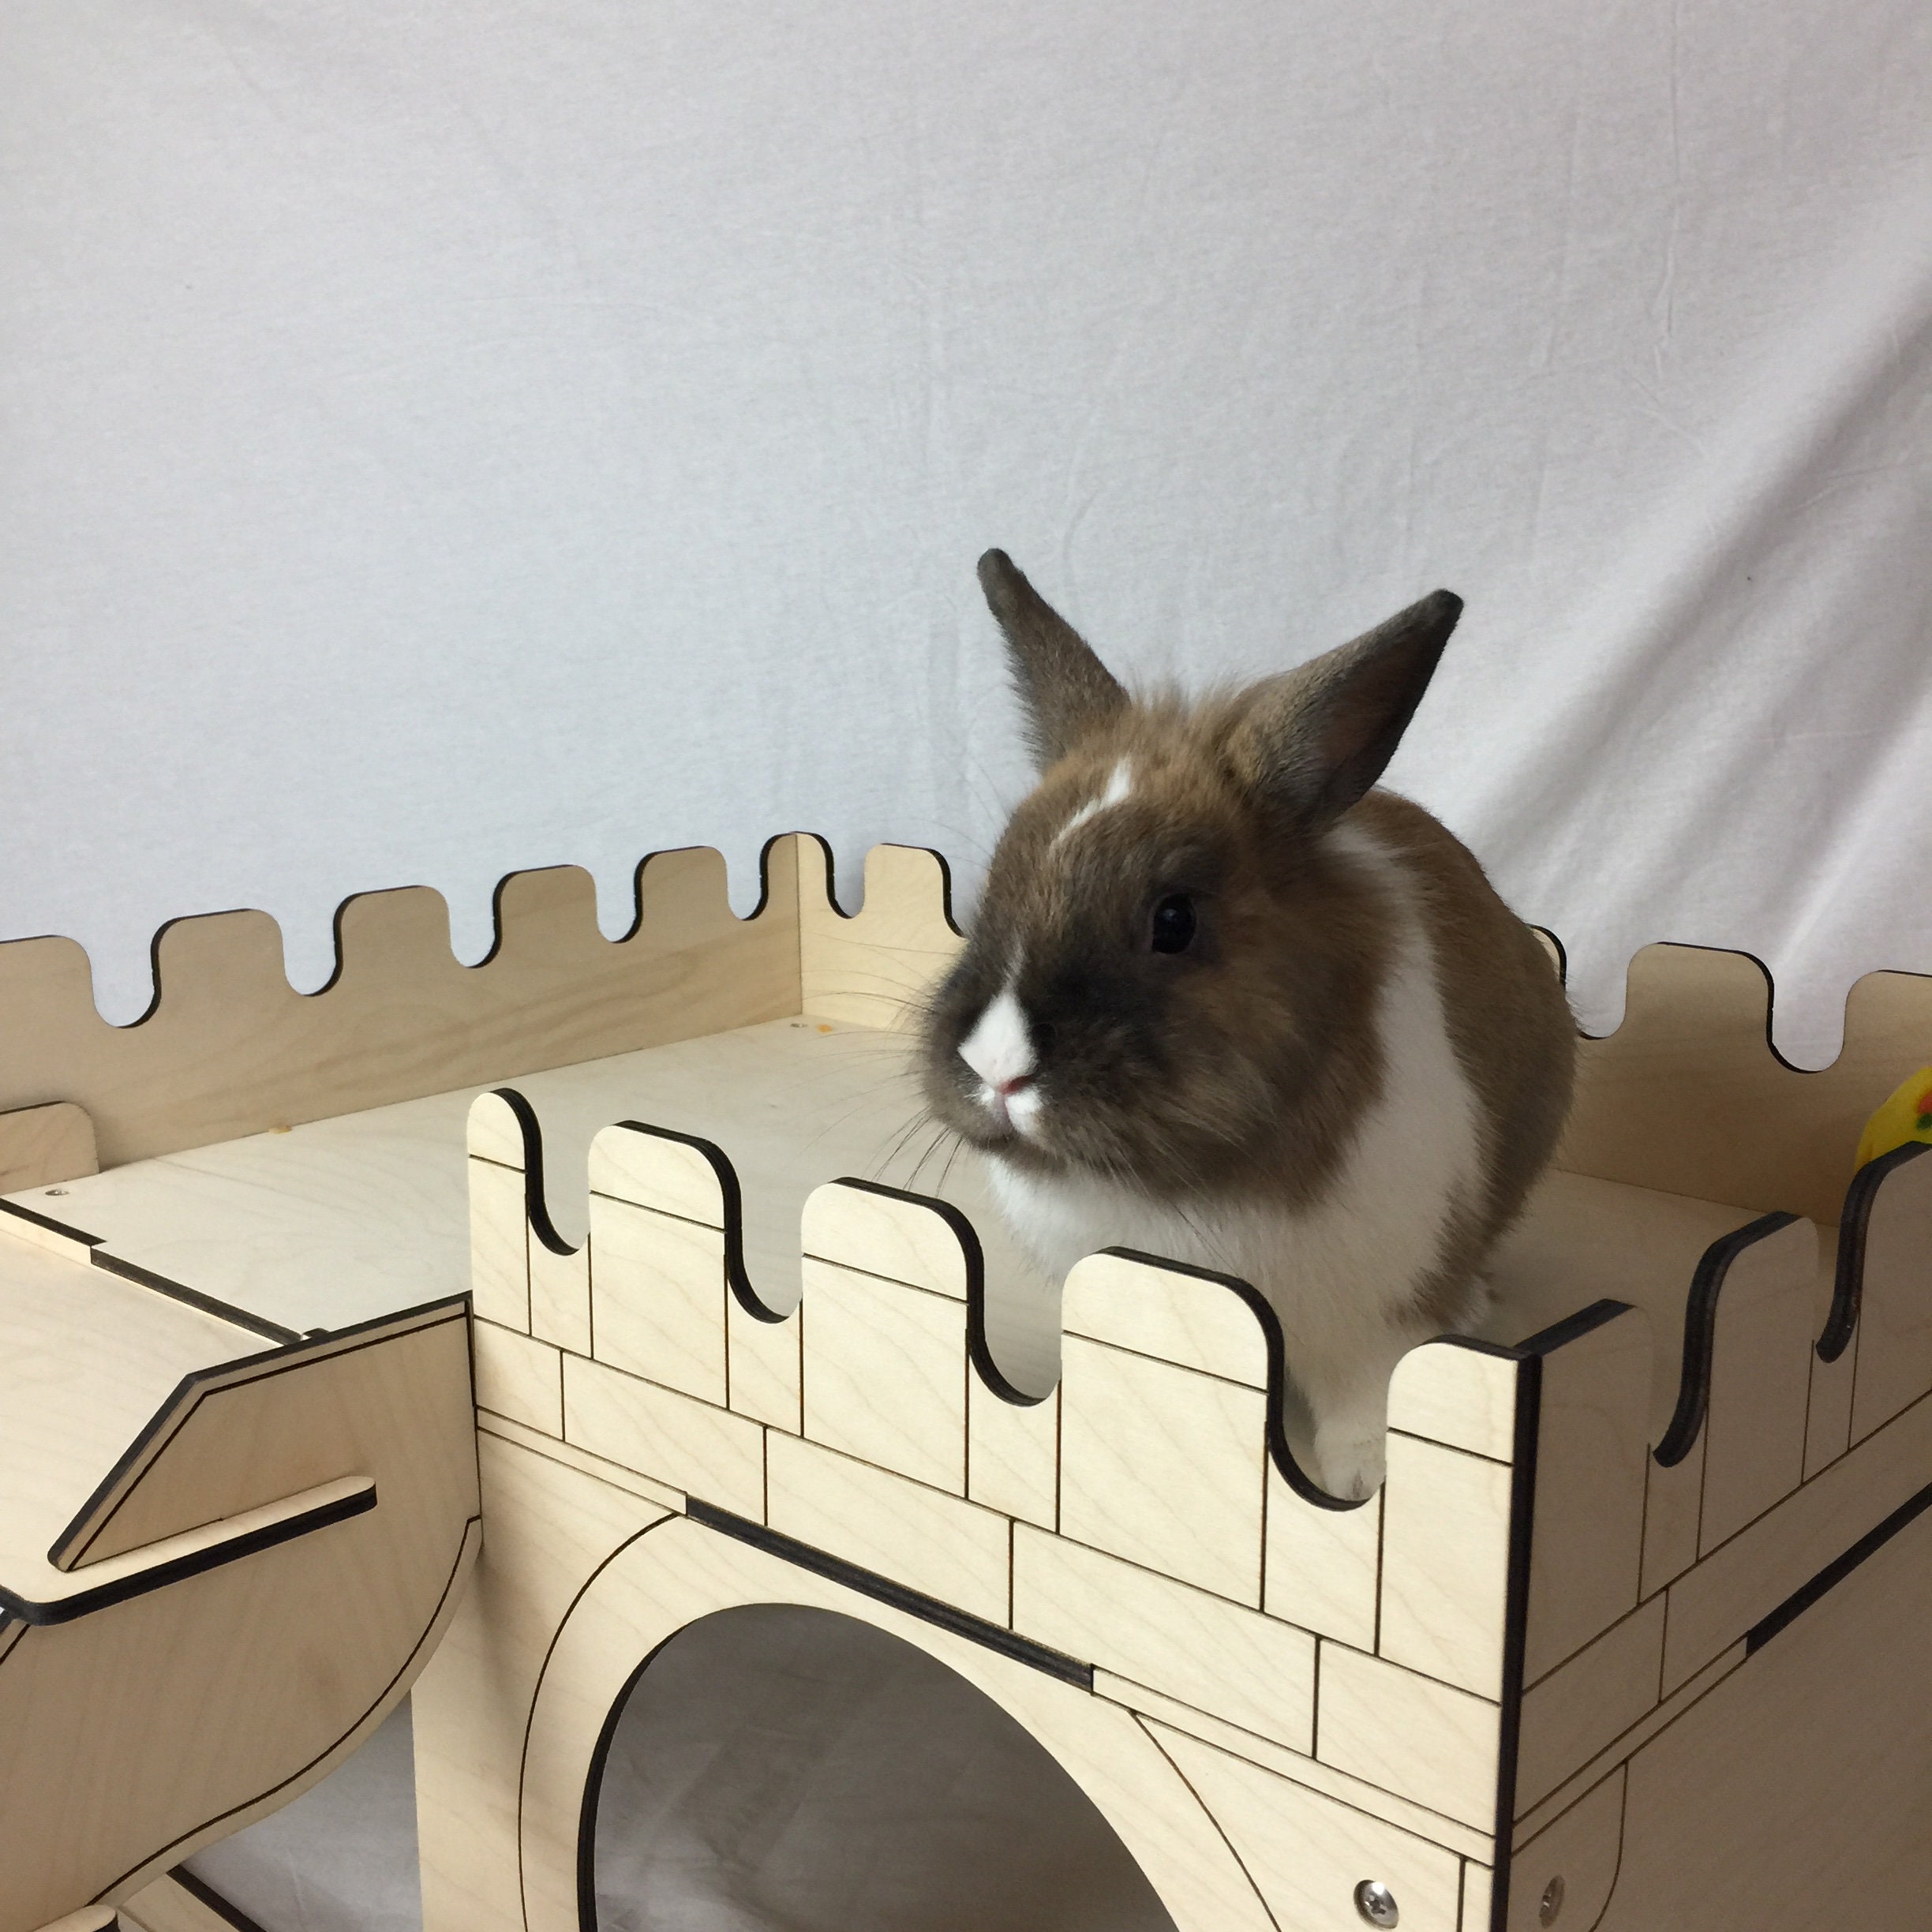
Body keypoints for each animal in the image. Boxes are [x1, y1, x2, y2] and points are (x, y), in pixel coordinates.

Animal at [918, 550, 1576, 1501]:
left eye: (1175, 921)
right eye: (992, 890)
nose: (999, 1070)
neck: (1177, 1180)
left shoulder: (1375, 1313)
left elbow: (1368, 1394)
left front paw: (1360, 1486)